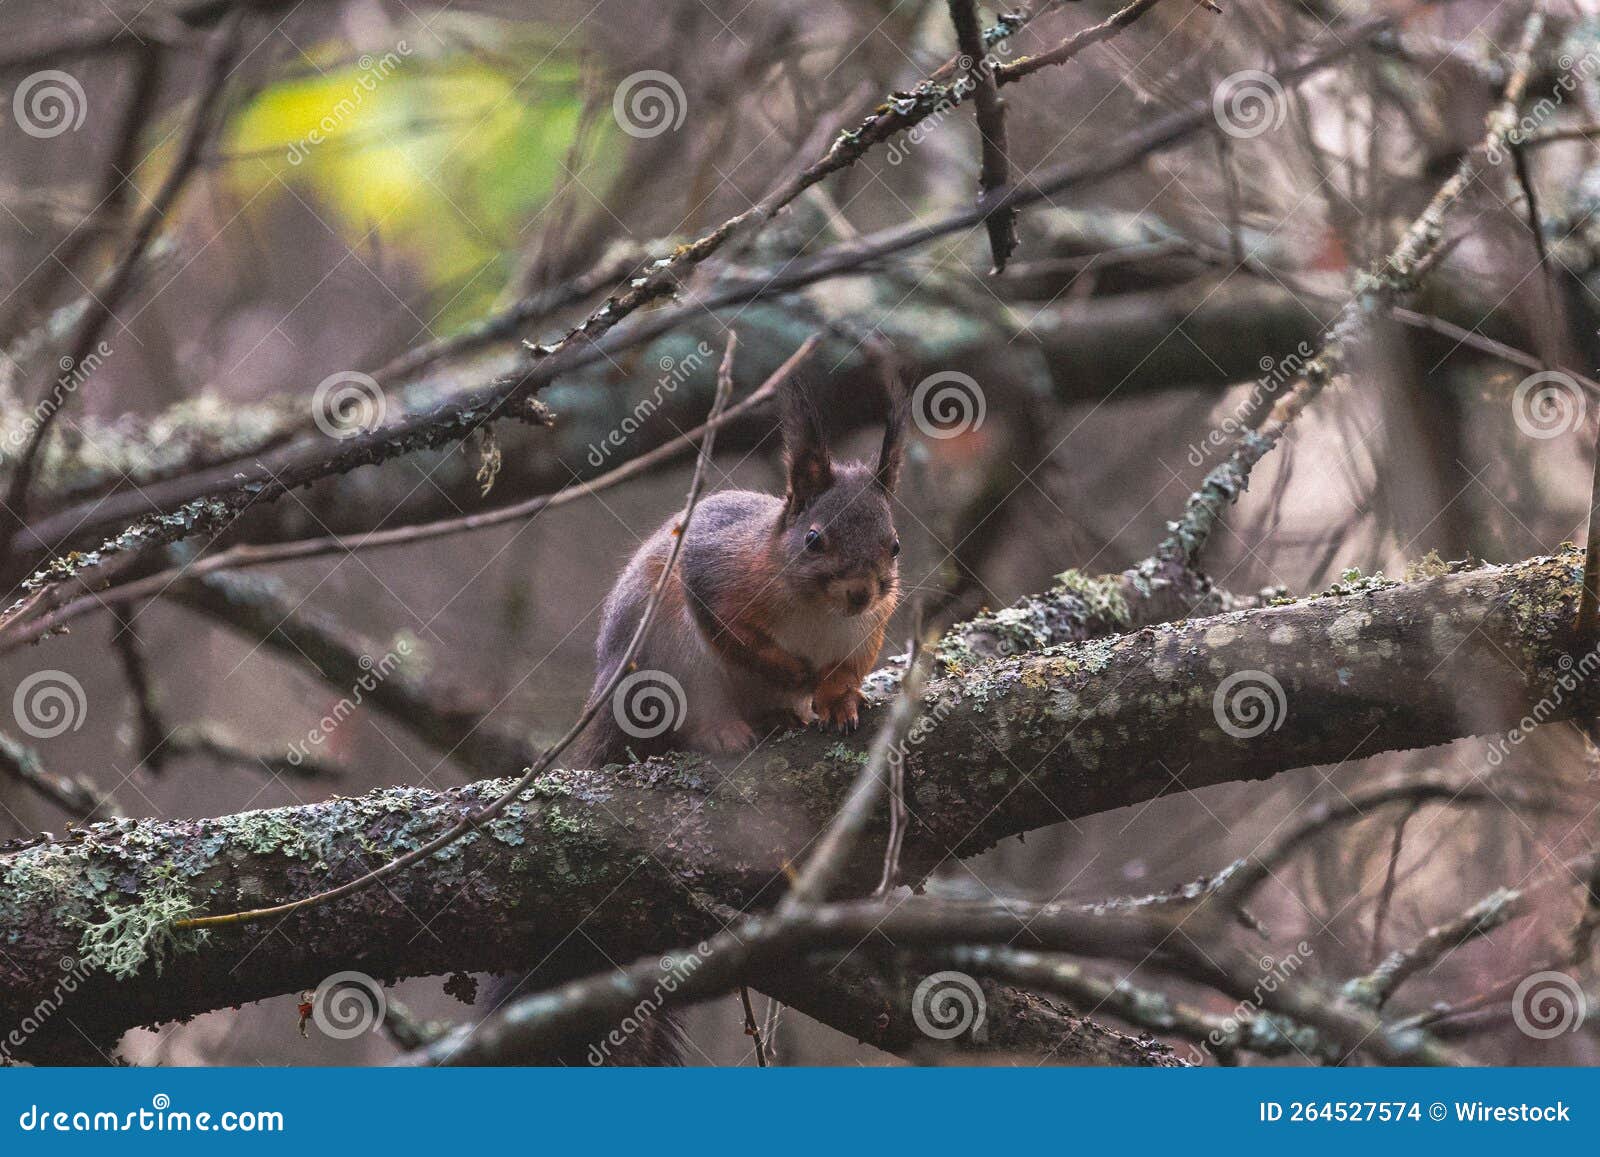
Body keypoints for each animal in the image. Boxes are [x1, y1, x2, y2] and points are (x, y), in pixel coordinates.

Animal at [574, 373, 908, 768]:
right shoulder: (714, 574)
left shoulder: (866, 628)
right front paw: (791, 670)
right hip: (667, 658)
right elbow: (737, 635)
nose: (860, 593)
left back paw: (779, 717)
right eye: (812, 539)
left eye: (895, 546)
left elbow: (846, 669)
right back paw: (720, 730)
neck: (818, 609)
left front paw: (839, 699)